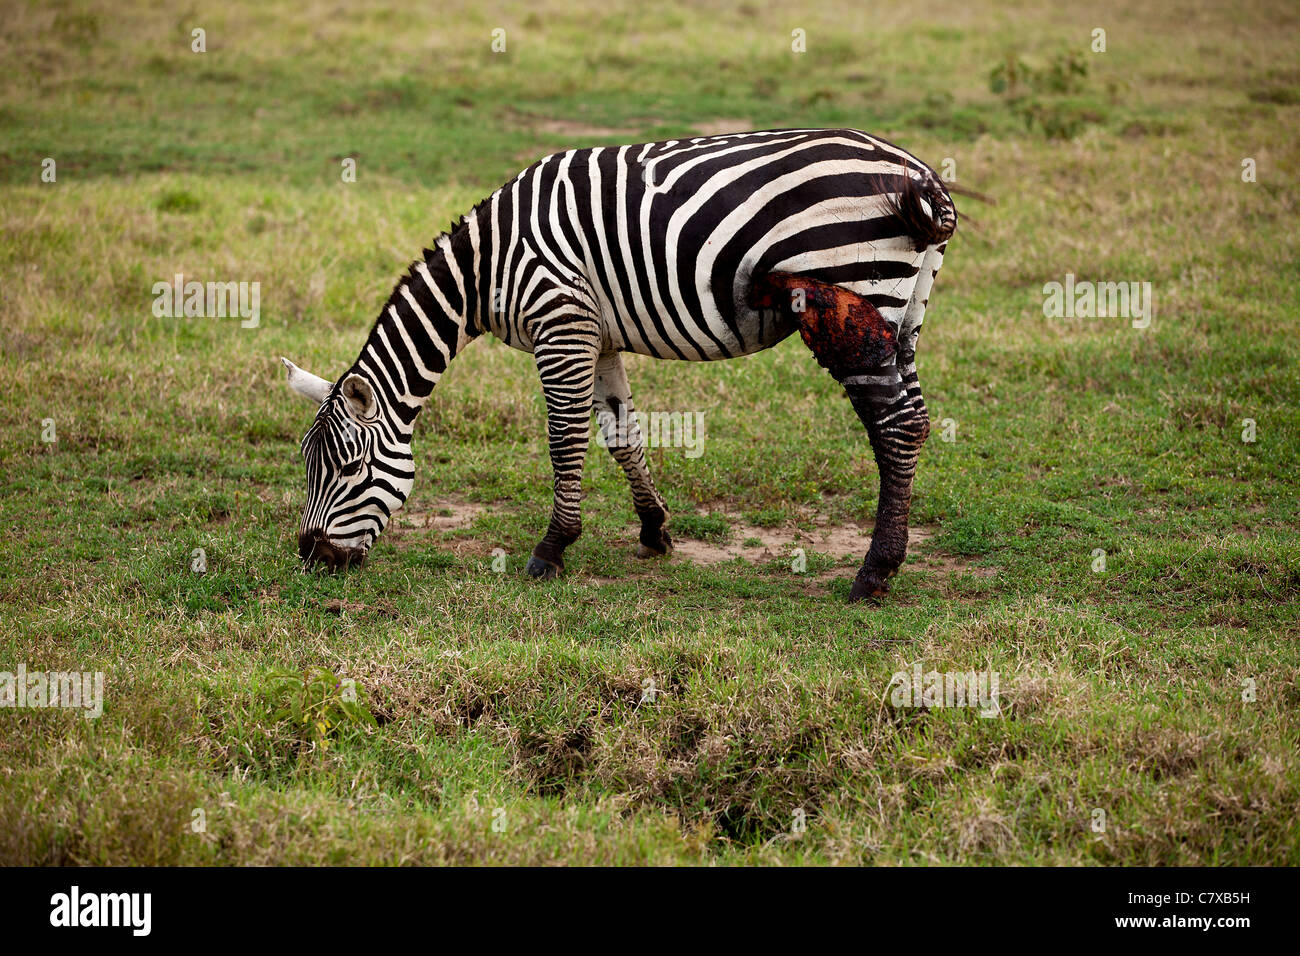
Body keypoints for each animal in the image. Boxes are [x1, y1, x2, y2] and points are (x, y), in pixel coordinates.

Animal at [282, 128, 956, 601]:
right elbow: (621, 434)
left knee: (894, 427)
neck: (484, 270)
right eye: (307, 467)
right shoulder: (597, 335)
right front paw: (655, 530)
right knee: (916, 421)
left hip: (853, 297)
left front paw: (551, 550)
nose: (313, 558)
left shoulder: (561, 324)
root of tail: (921, 174)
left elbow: (565, 440)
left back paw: (874, 573)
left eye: (349, 468)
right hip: (904, 312)